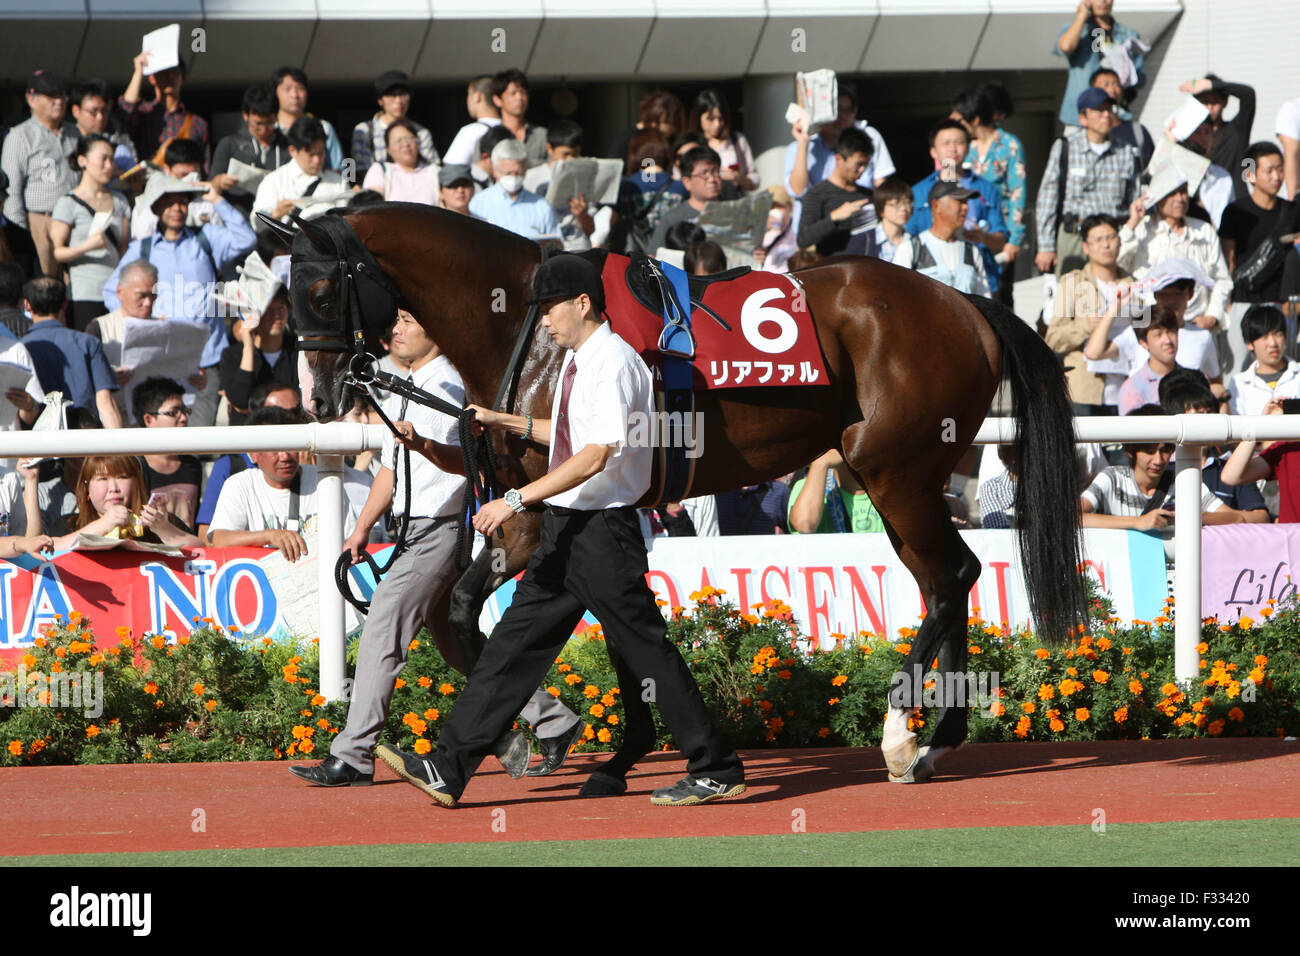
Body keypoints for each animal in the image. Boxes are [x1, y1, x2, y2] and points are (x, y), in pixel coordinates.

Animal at [270, 201, 1087, 787]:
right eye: (286, 295)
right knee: (949, 579)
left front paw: (522, 737)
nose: (320, 395)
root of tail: (965, 304)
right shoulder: (592, 509)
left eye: (321, 289)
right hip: (899, 479)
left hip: (895, 470)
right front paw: (612, 750)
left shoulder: (536, 512)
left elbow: (475, 614)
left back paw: (899, 739)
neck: (529, 331)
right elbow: (614, 624)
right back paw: (937, 742)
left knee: (949, 577)